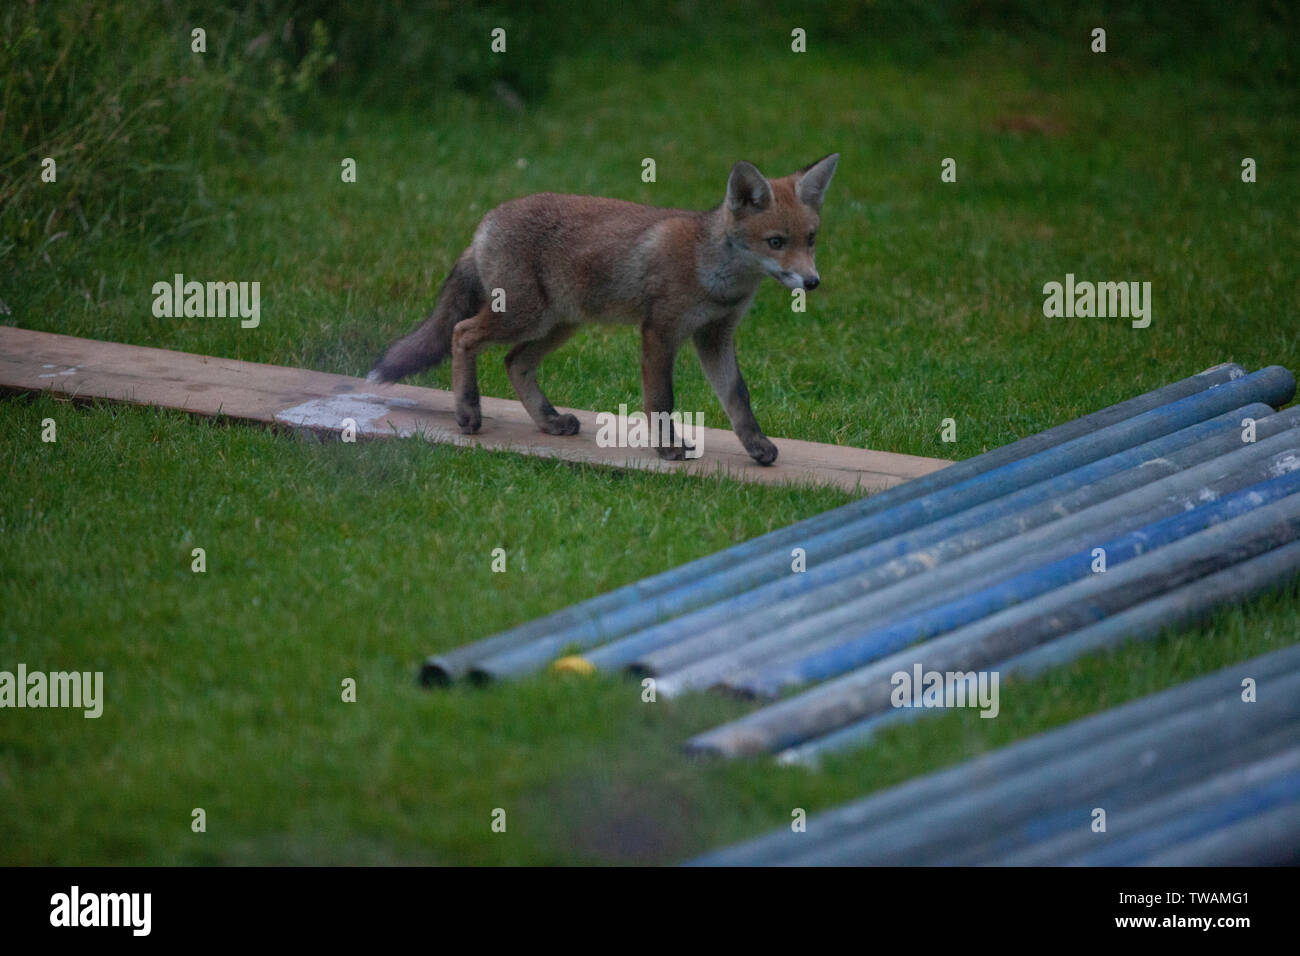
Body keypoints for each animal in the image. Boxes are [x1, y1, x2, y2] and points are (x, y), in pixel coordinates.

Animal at [367, 153, 839, 465]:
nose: (813, 282)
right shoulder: (660, 331)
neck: (715, 275)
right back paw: (468, 410)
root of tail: (484, 223)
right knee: (462, 334)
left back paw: (549, 422)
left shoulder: (715, 336)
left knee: (515, 362)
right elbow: (661, 399)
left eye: (811, 238)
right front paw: (668, 448)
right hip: (523, 316)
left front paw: (756, 446)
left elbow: (737, 397)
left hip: (559, 324)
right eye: (776, 242)